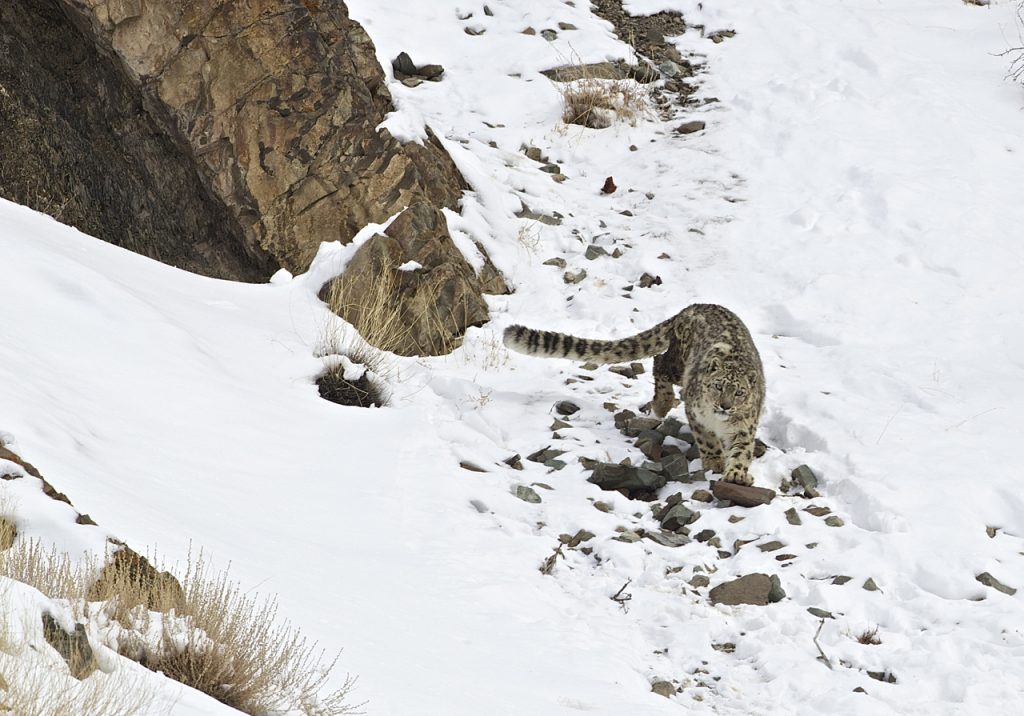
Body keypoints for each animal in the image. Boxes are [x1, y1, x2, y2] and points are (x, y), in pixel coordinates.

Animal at [503, 303, 765, 486]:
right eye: (718, 386)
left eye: (739, 392)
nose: (725, 406)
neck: (718, 421)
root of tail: (693, 307)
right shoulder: (696, 414)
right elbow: (707, 440)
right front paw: (715, 461)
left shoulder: (744, 427)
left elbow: (742, 451)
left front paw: (736, 475)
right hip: (677, 364)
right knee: (659, 363)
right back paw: (661, 404)